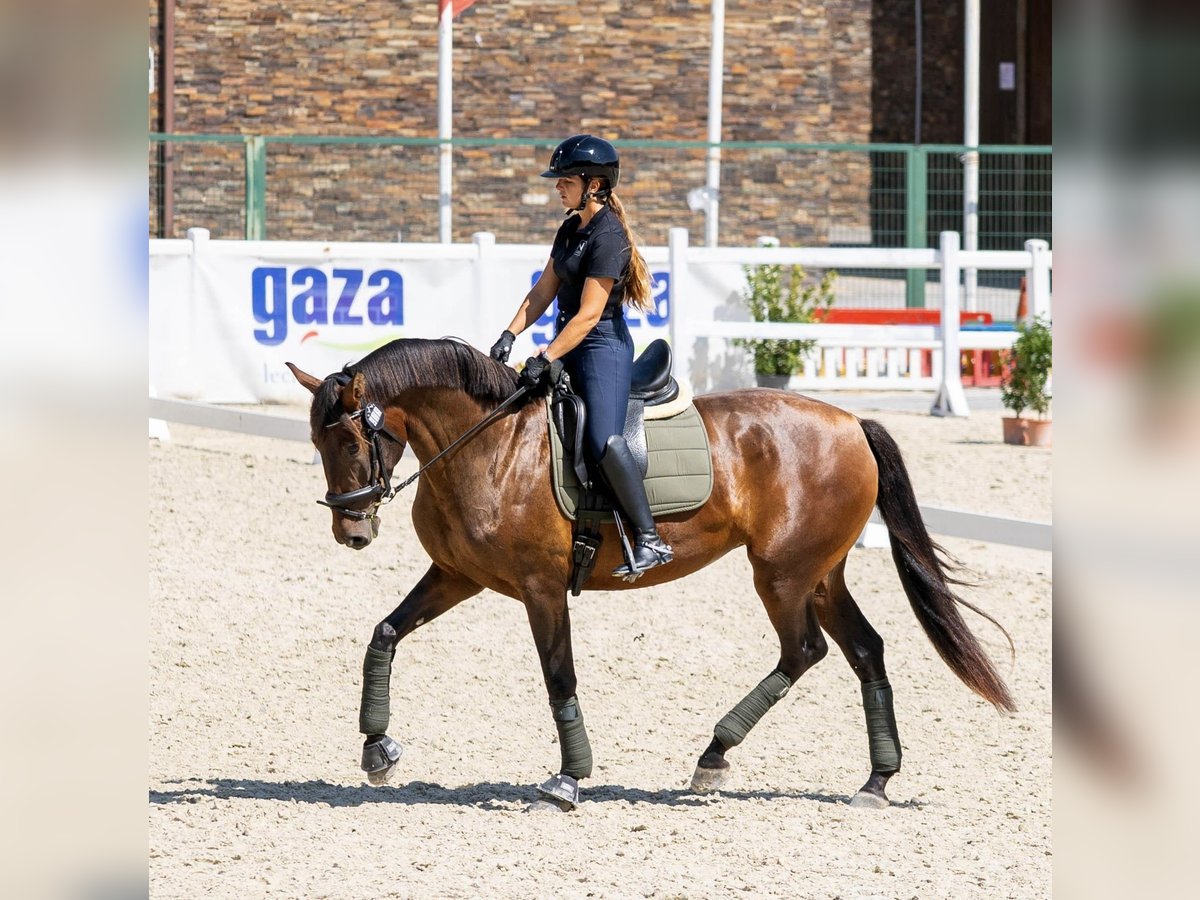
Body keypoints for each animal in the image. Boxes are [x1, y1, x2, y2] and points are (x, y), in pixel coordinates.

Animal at [286, 338, 1014, 811]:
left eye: (349, 440)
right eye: (317, 443)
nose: (352, 532)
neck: (491, 445)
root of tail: (852, 423)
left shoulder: (542, 588)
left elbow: (559, 678)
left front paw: (568, 779)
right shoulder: (455, 575)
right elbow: (384, 632)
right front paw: (377, 746)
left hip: (780, 574)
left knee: (805, 649)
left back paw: (715, 755)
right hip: (818, 572)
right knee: (865, 649)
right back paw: (875, 782)